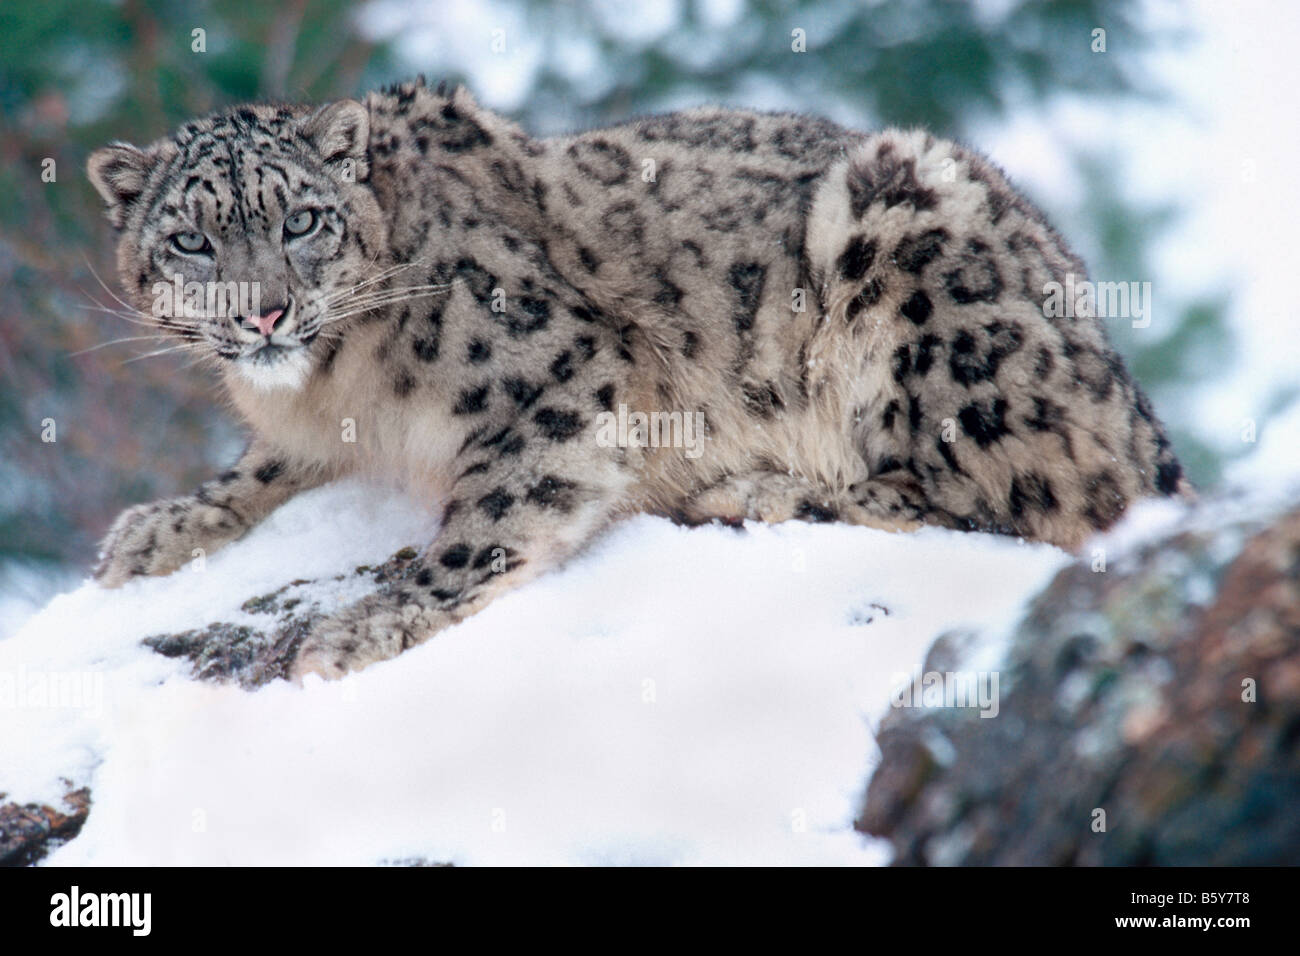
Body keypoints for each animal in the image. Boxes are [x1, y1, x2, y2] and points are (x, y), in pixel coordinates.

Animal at [86, 78, 1190, 680]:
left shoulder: (561, 378)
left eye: (303, 220)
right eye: (190, 239)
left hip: (921, 267)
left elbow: (485, 524)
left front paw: (355, 627)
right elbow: (258, 469)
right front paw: (154, 530)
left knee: (1030, 505)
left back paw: (754, 488)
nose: (265, 312)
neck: (336, 387)